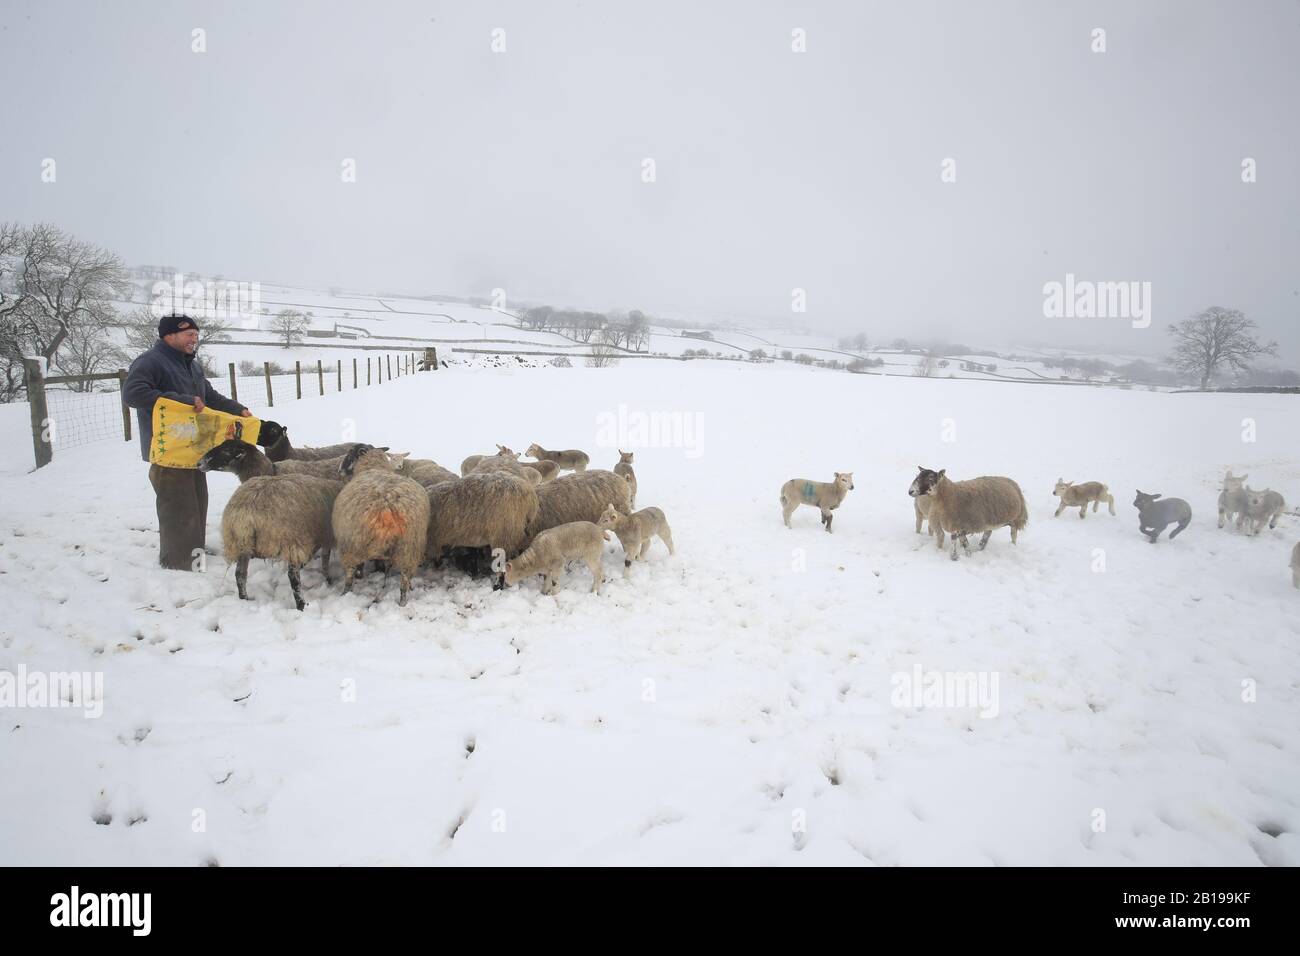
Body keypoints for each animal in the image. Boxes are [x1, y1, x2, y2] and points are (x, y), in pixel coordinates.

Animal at [221, 474, 343, 610]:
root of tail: (248, 513)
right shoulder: (325, 536)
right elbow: (325, 559)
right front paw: (328, 579)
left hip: (240, 543)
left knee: (240, 574)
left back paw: (244, 598)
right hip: (291, 541)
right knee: (293, 577)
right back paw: (301, 605)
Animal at [332, 446, 430, 606]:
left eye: (350, 455)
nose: (340, 470)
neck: (373, 466)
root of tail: (387, 505)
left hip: (352, 544)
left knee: (350, 573)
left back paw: (345, 593)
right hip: (408, 547)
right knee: (404, 579)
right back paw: (402, 601)